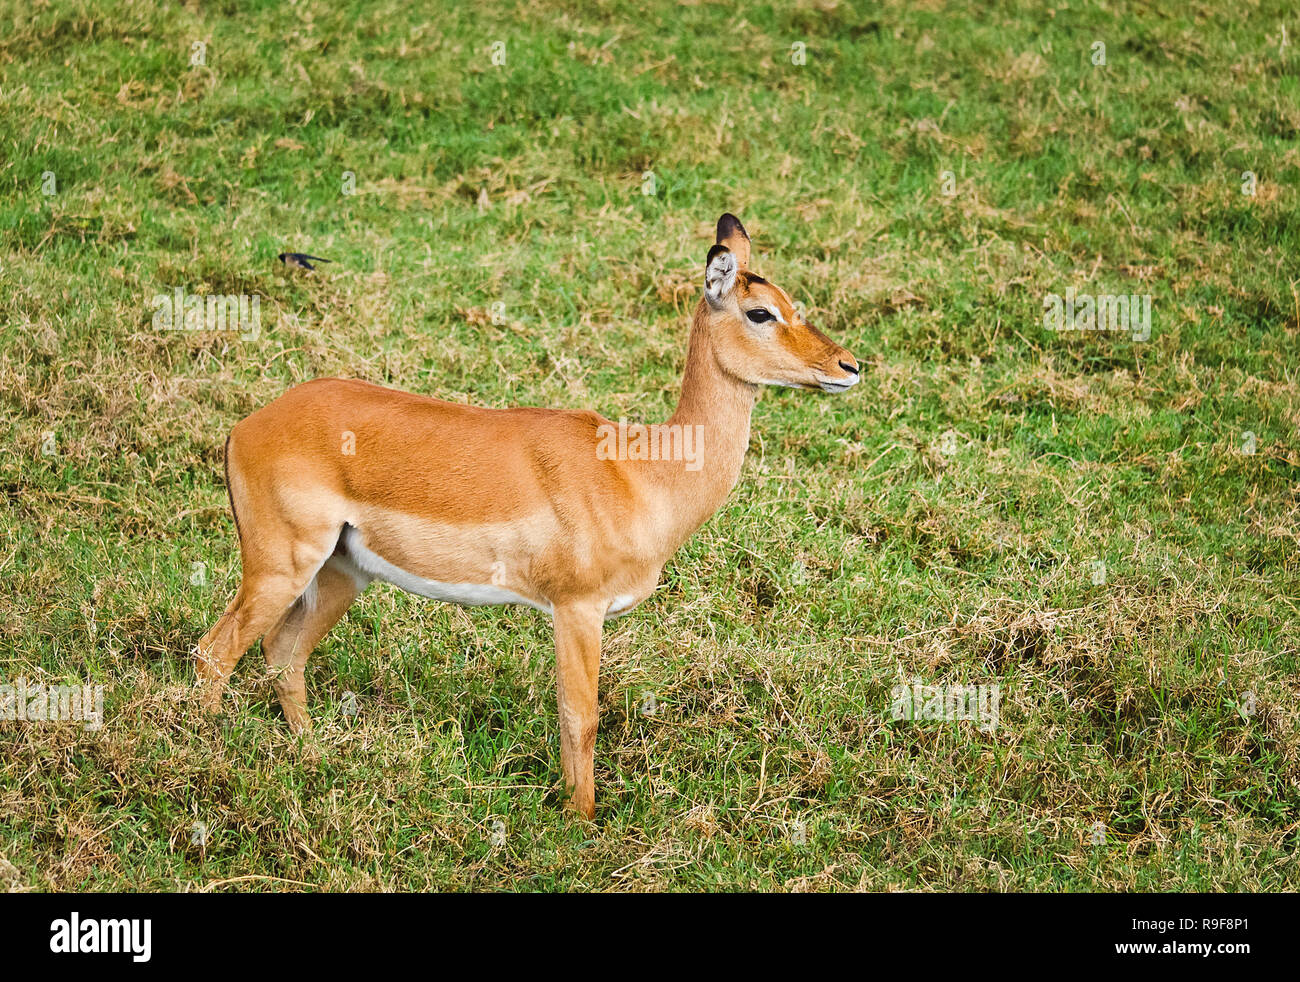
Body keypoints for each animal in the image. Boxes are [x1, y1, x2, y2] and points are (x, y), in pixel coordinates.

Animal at [196, 214, 859, 818]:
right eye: (760, 312)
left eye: (794, 303)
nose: (850, 366)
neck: (639, 471)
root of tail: (245, 427)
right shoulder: (577, 608)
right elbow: (580, 715)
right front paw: (580, 824)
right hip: (280, 566)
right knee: (214, 653)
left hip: (340, 573)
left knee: (283, 652)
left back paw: (312, 757)